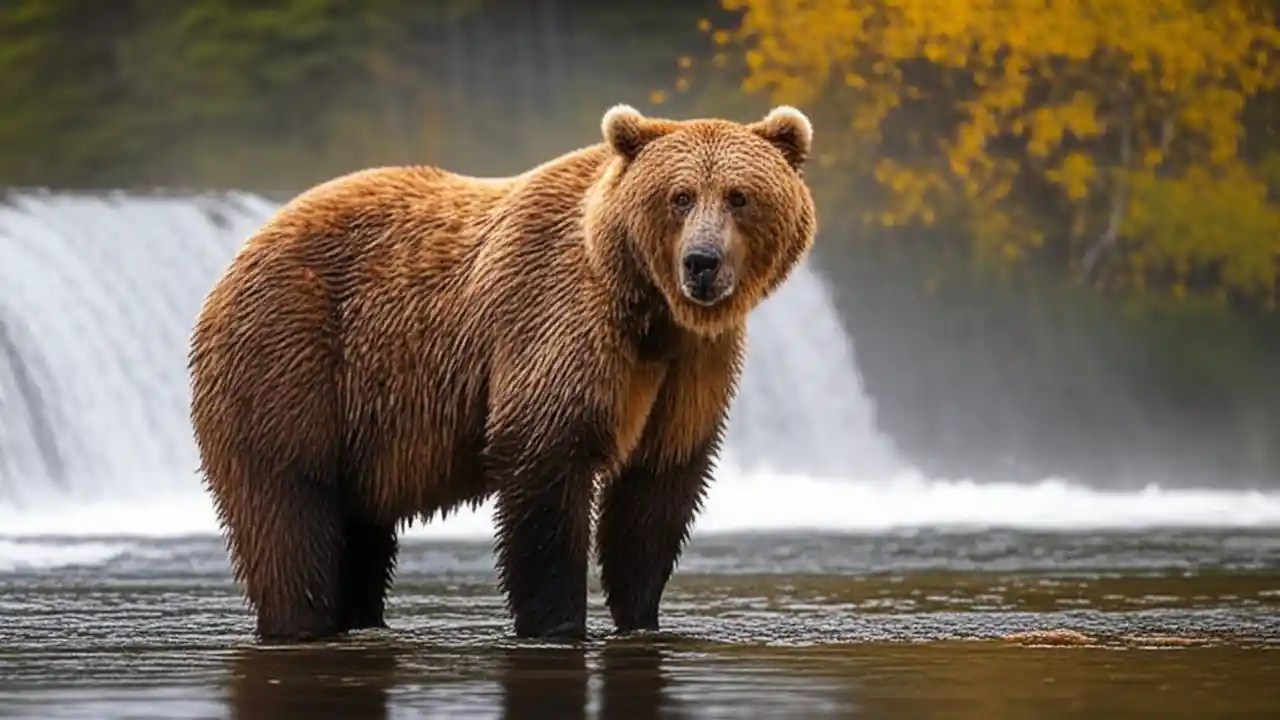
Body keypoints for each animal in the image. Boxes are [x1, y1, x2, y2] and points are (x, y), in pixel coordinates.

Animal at [188, 103, 817, 642]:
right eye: (680, 196)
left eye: (738, 196)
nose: (702, 263)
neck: (649, 312)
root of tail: (240, 254)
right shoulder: (556, 320)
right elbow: (545, 465)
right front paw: (557, 622)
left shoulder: (690, 368)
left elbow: (658, 488)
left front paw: (640, 615)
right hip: (291, 357)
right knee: (291, 517)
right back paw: (299, 620)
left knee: (360, 536)